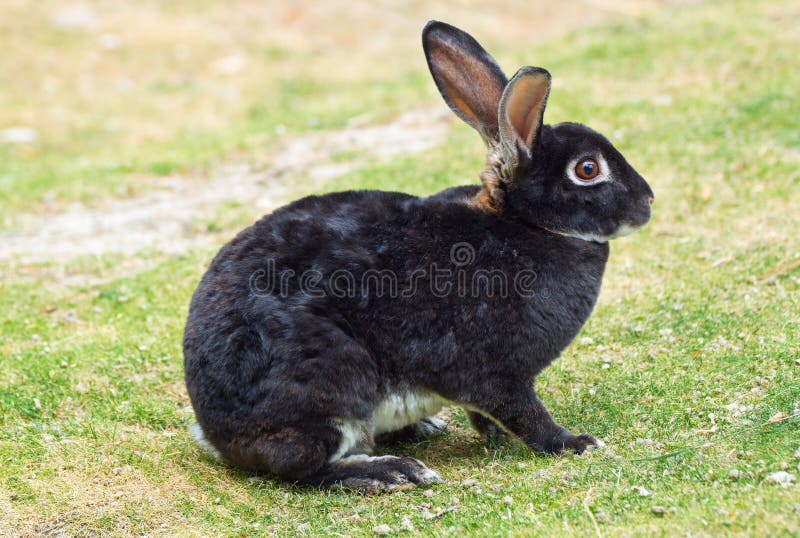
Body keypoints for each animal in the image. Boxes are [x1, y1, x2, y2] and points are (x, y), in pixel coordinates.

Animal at [183, 20, 654, 493]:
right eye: (588, 169)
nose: (648, 202)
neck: (525, 224)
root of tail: (215, 433)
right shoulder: (495, 372)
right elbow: (524, 413)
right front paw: (573, 442)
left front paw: (494, 435)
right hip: (332, 384)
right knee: (306, 467)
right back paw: (392, 470)